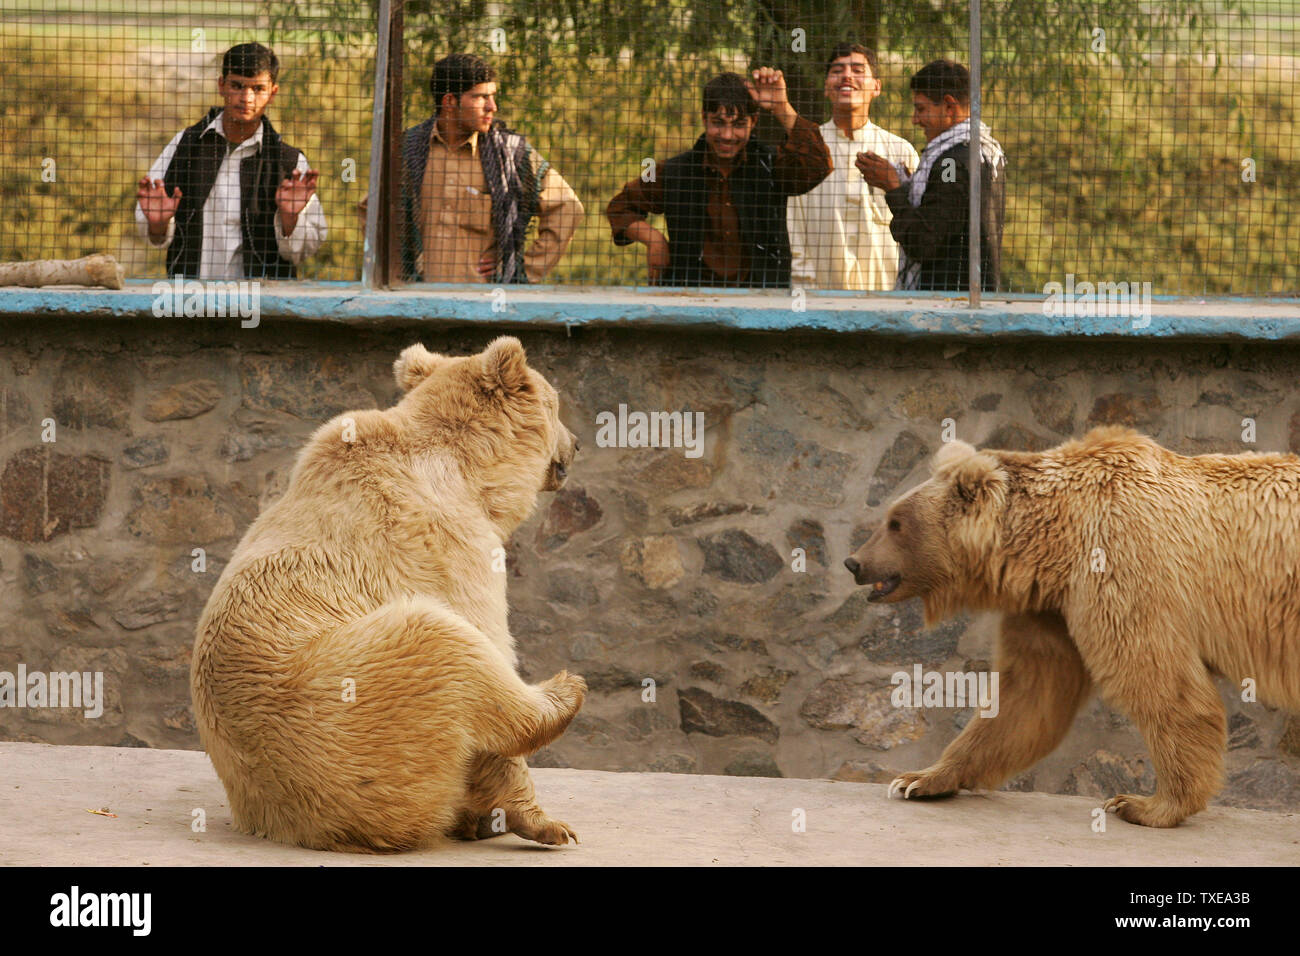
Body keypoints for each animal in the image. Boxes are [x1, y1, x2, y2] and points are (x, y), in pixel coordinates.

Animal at [191, 336, 587, 852]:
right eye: (556, 403)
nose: (576, 443)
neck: (471, 475)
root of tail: (293, 824)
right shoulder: (452, 547)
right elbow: (487, 641)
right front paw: (544, 821)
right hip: (361, 713)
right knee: (444, 645)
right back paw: (563, 693)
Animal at [843, 425, 1300, 828]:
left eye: (896, 522)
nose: (854, 562)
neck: (1052, 544)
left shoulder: (1121, 564)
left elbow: (1160, 681)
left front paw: (1144, 804)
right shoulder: (1050, 609)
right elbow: (1029, 695)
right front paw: (919, 779)